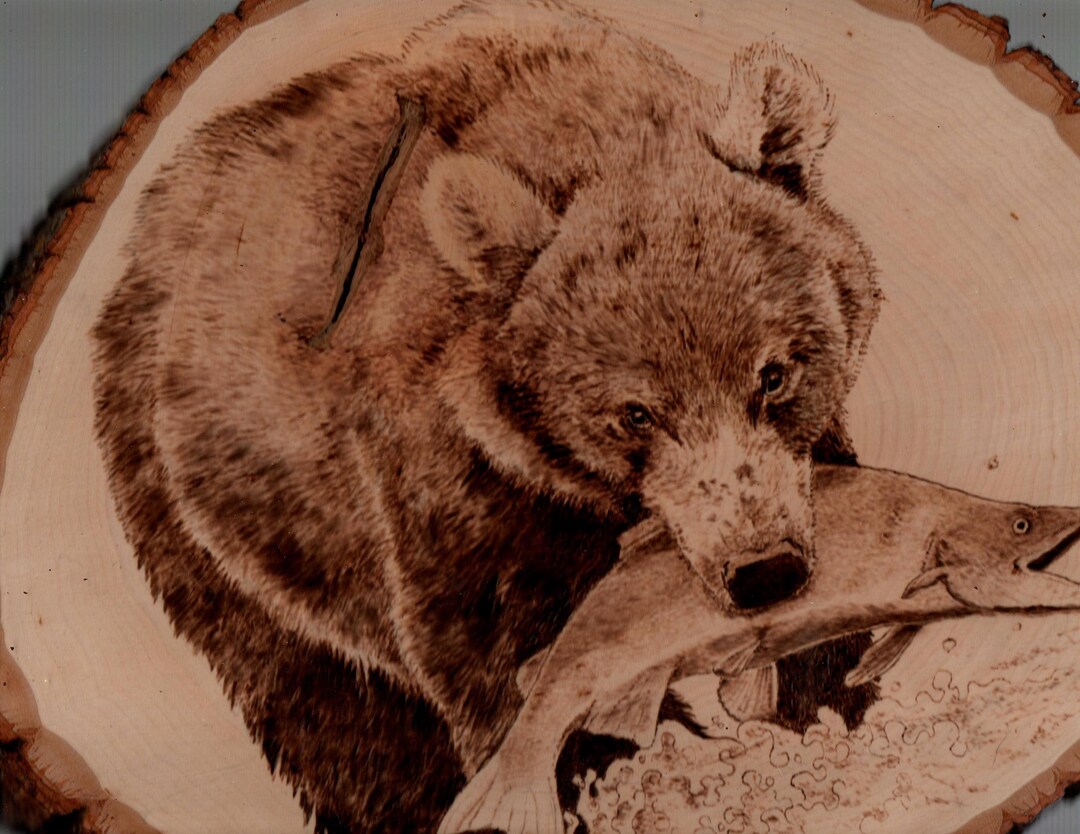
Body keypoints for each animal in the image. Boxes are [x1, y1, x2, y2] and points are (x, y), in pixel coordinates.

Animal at [90, 2, 881, 832]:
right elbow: (495, 657)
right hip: (215, 519)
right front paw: (599, 779)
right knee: (336, 716)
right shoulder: (461, 486)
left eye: (774, 372)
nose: (763, 570)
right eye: (634, 413)